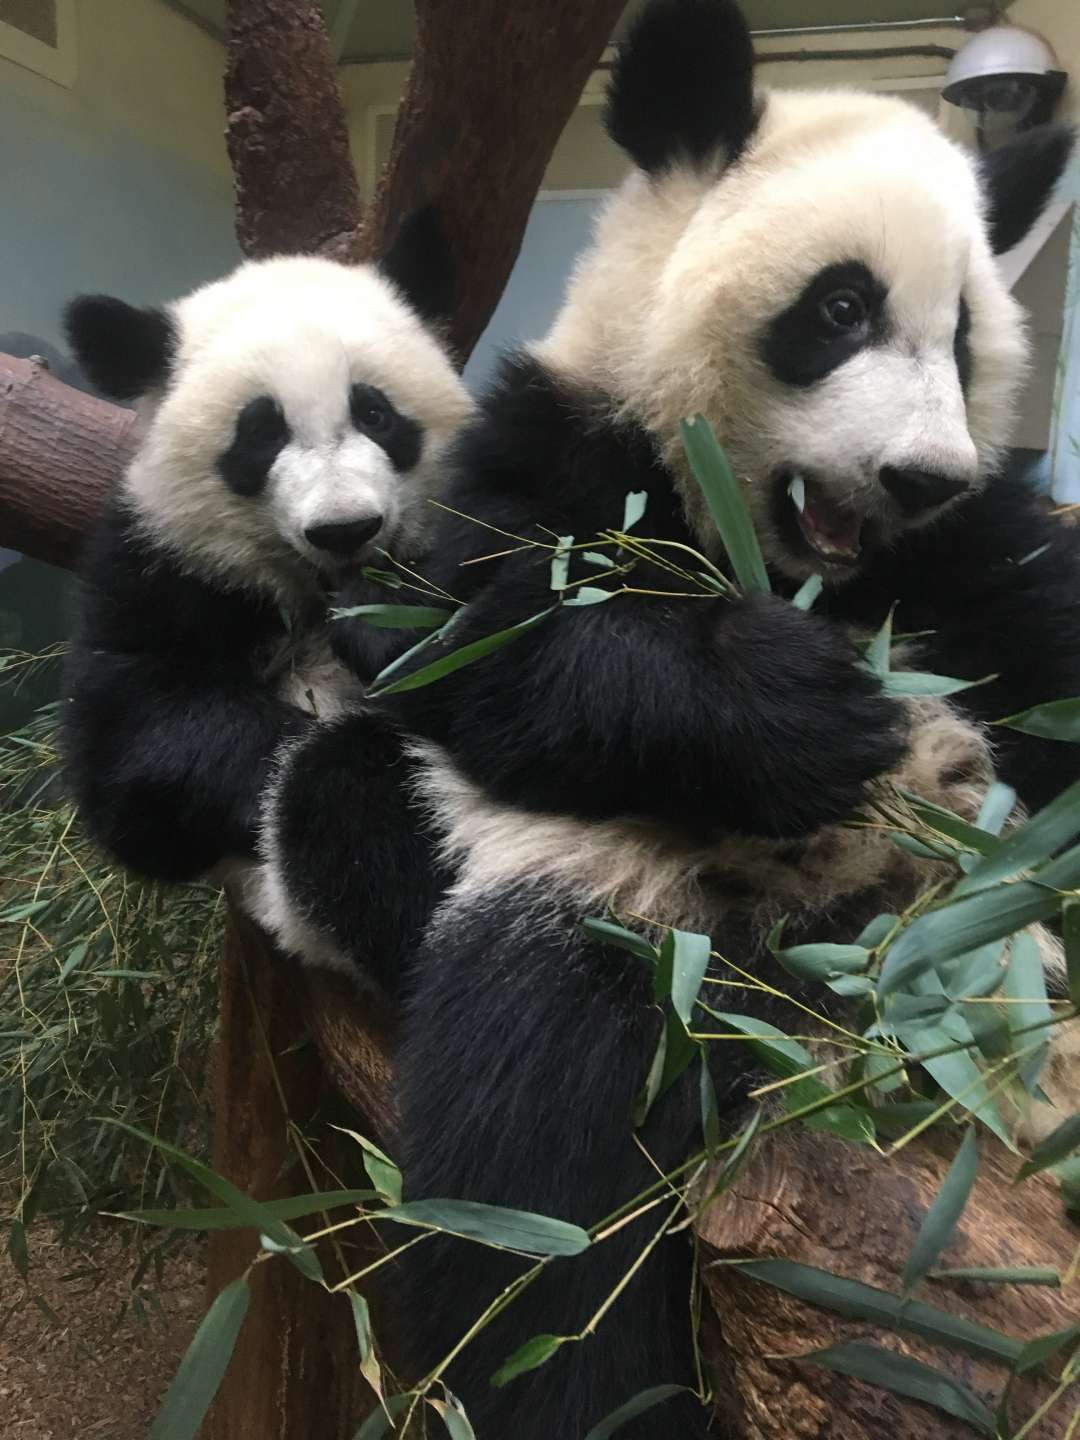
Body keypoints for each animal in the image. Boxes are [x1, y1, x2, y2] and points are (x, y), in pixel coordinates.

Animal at [62, 226, 474, 993]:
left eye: (375, 412)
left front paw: (387, 619)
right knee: (349, 797)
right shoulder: (161, 567)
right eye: (261, 433)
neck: (316, 590)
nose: (345, 529)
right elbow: (135, 747)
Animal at [316, 2, 1078, 1434]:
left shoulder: (980, 556)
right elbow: (471, 648)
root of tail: (846, 972)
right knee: (544, 1166)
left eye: (961, 342)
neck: (784, 561)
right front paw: (805, 705)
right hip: (626, 910)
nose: (921, 473)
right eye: (840, 308)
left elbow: (1049, 635)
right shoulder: (553, 456)